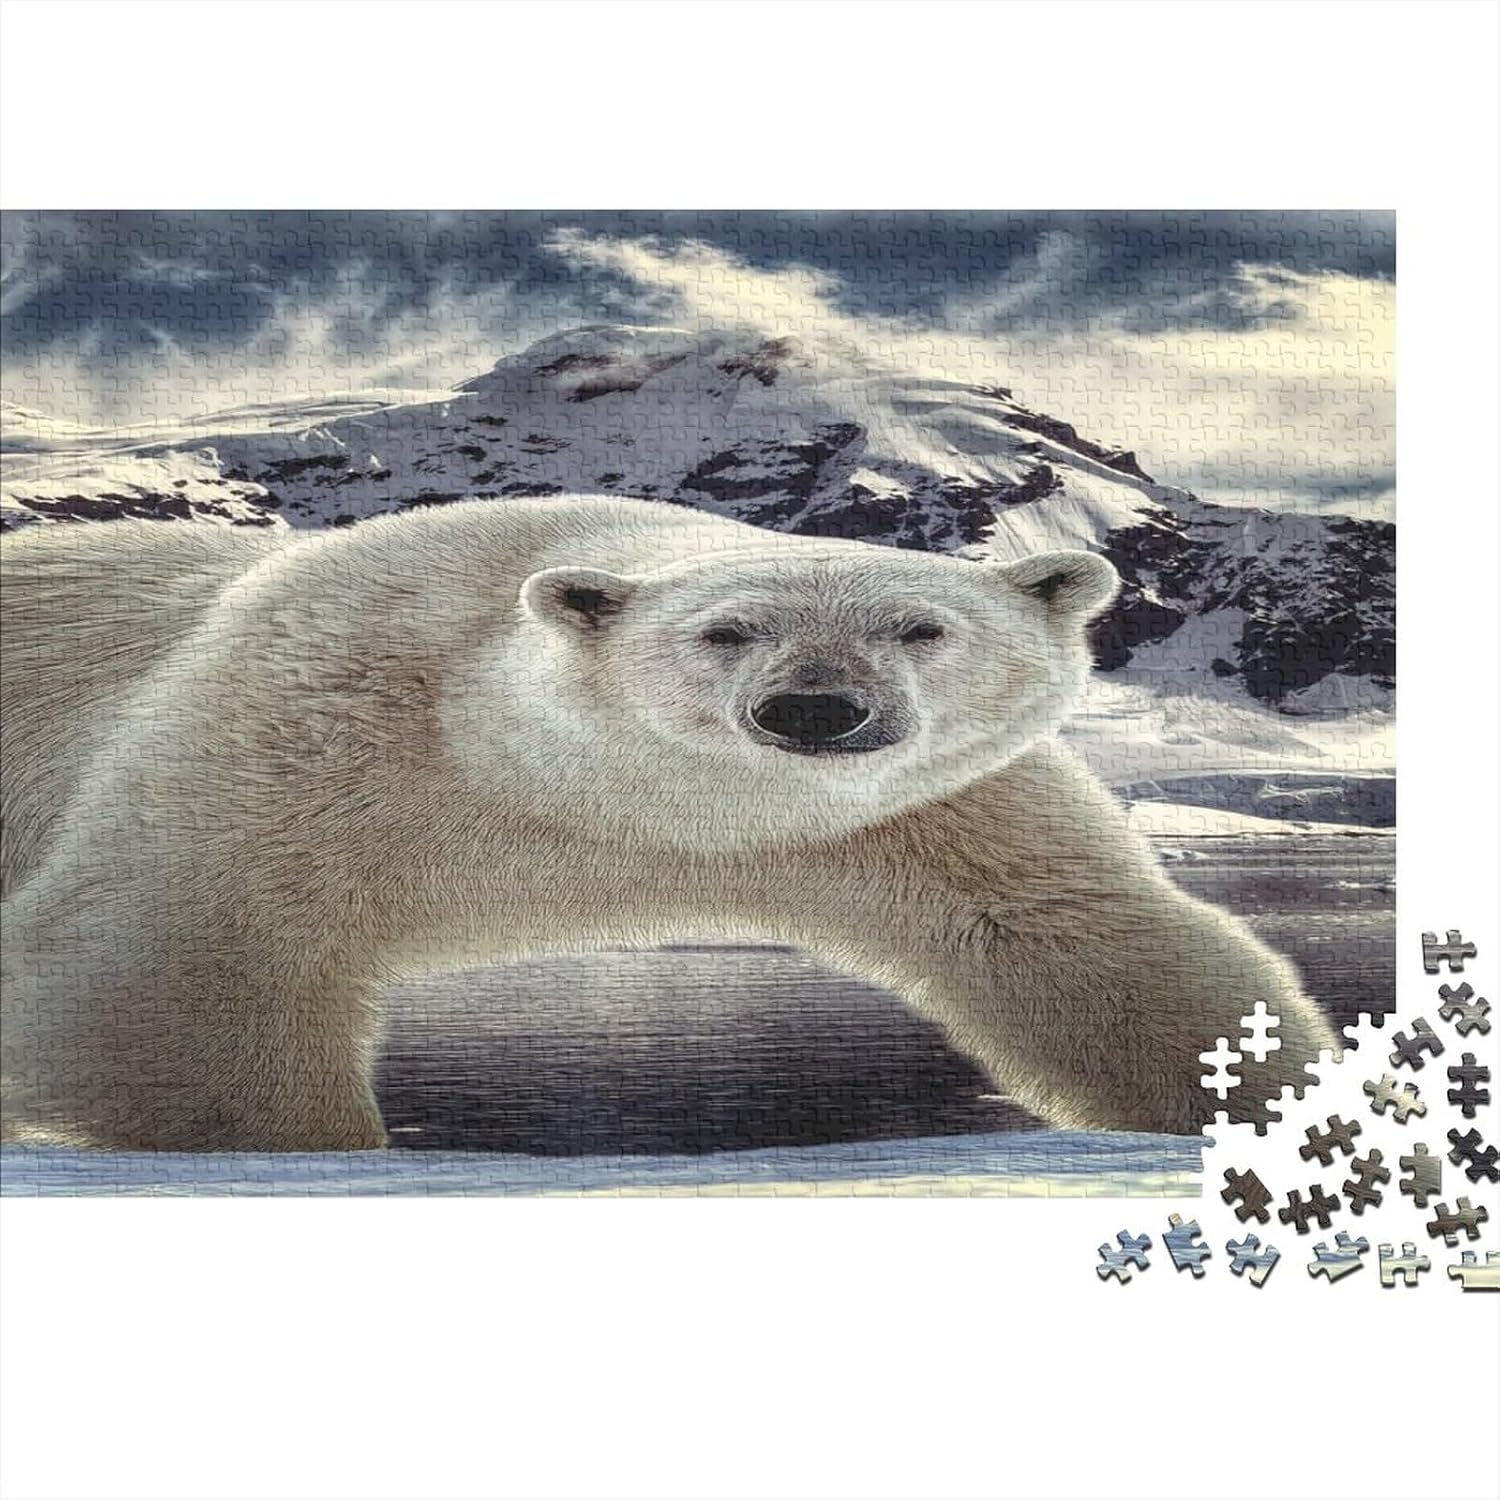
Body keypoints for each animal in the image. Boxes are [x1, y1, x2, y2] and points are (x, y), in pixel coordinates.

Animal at [0, 496, 1335, 1150]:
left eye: (921, 626)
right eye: (726, 629)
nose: (816, 709)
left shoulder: (928, 814)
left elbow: (1087, 942)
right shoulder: (313, 717)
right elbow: (185, 953)